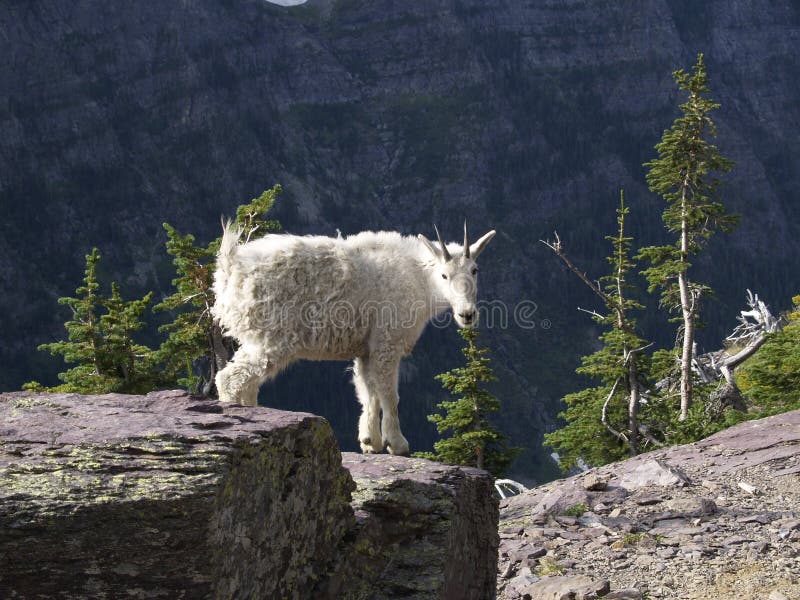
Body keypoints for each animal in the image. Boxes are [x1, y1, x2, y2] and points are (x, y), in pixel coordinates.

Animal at [211, 222, 495, 455]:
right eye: (444, 275)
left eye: (475, 270)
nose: (467, 314)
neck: (419, 279)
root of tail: (231, 267)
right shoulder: (387, 341)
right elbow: (389, 394)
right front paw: (397, 443)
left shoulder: (366, 347)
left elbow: (369, 391)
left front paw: (370, 441)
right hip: (273, 337)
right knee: (230, 377)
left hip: (256, 337)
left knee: (248, 381)